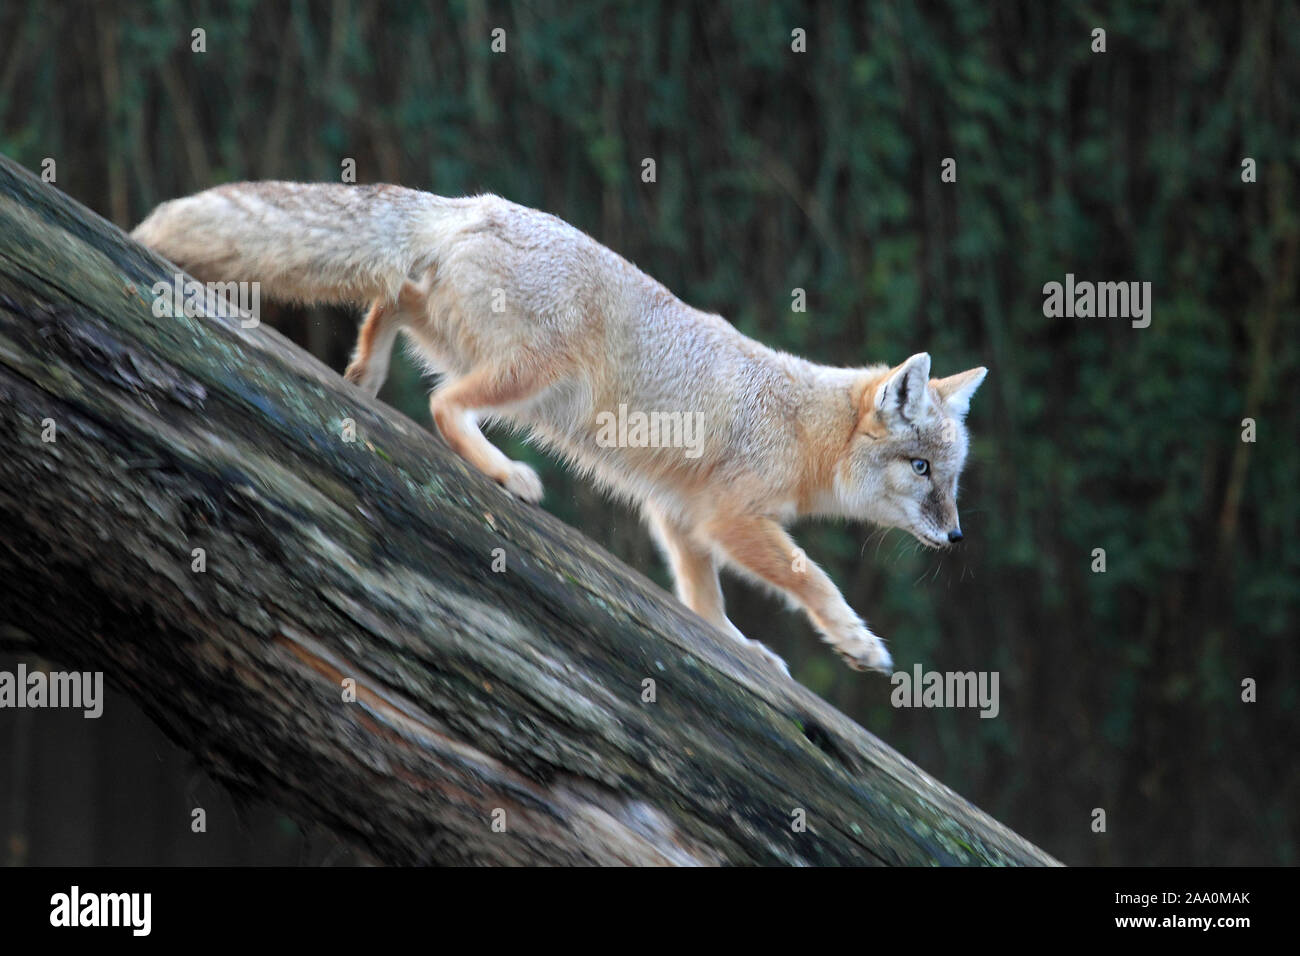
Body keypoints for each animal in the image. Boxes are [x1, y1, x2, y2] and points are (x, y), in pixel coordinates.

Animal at [131, 182, 988, 676]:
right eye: (921, 469)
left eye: (950, 479)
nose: (956, 538)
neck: (801, 420)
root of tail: (479, 202)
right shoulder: (728, 515)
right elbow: (812, 576)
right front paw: (857, 641)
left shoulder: (681, 516)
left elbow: (703, 600)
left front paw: (736, 645)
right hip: (536, 374)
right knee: (444, 405)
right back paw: (501, 472)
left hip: (459, 334)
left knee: (391, 303)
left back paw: (363, 378)